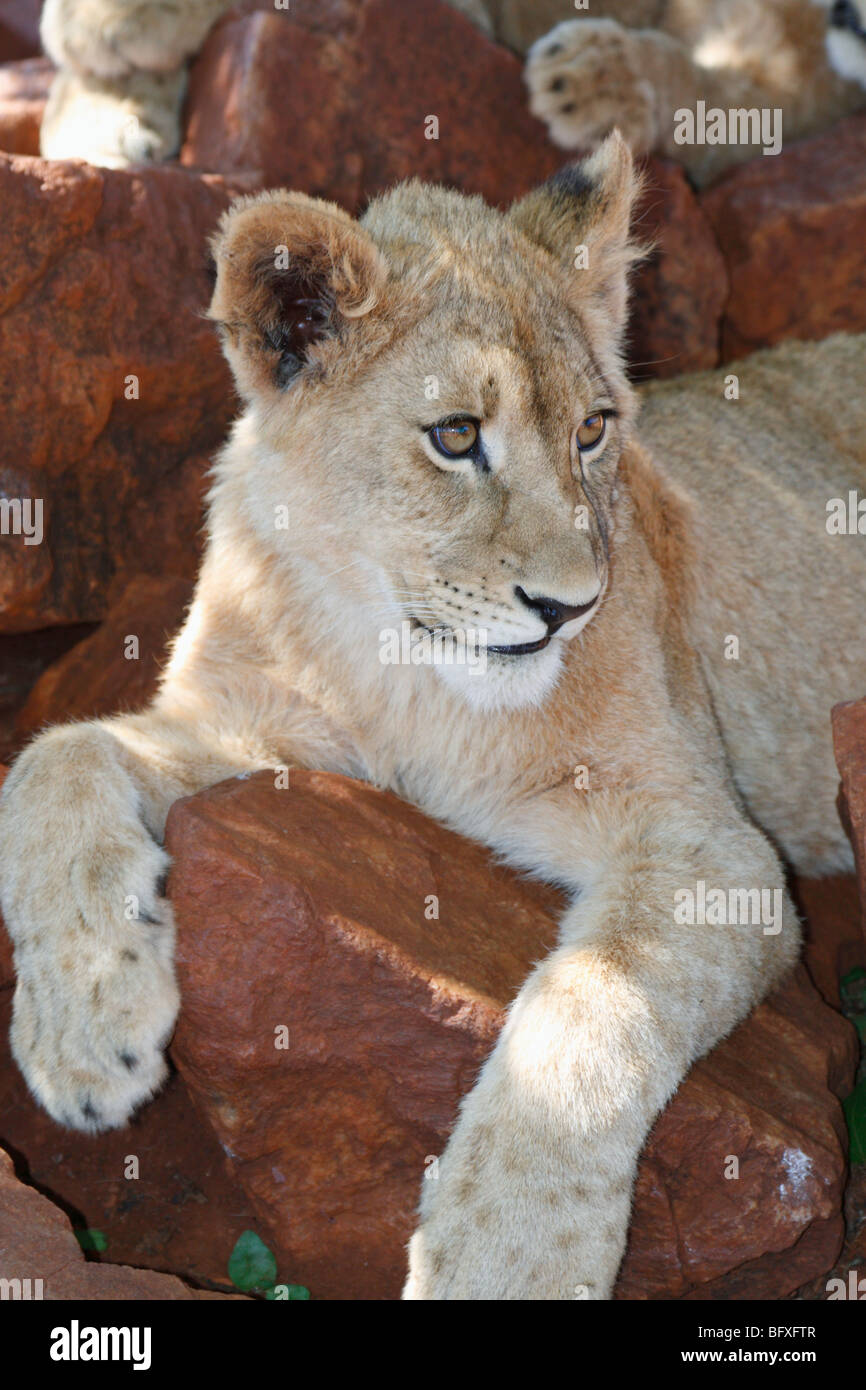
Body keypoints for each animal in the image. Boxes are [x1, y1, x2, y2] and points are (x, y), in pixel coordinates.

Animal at [2, 134, 865, 1298]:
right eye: (456, 436)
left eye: (592, 430)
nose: (569, 605)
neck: (402, 677)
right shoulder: (261, 731)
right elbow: (55, 756)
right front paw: (88, 1030)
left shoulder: (714, 845)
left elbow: (591, 1000)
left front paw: (505, 1263)